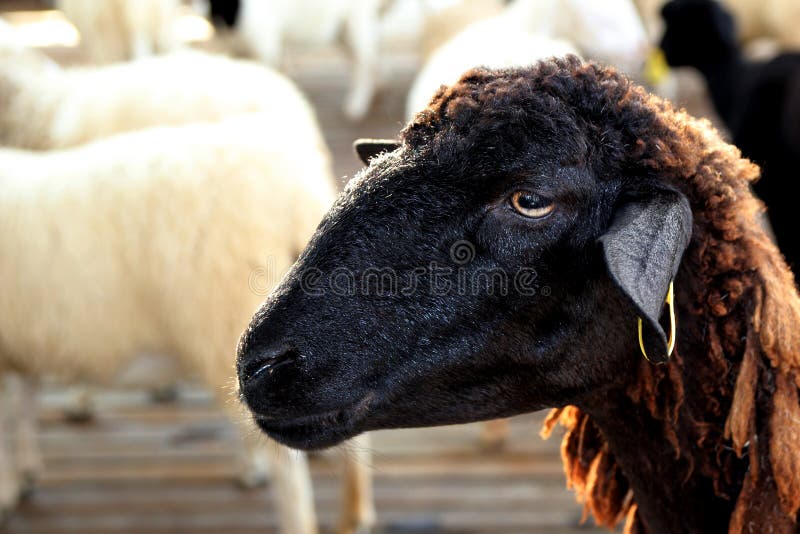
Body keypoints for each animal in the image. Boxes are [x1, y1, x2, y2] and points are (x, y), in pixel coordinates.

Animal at [0, 113, 376, 534]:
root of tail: (297, 196)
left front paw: (6, 490)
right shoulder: (24, 341)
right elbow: (23, 402)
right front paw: (25, 471)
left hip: (232, 323)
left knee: (290, 472)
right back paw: (353, 514)